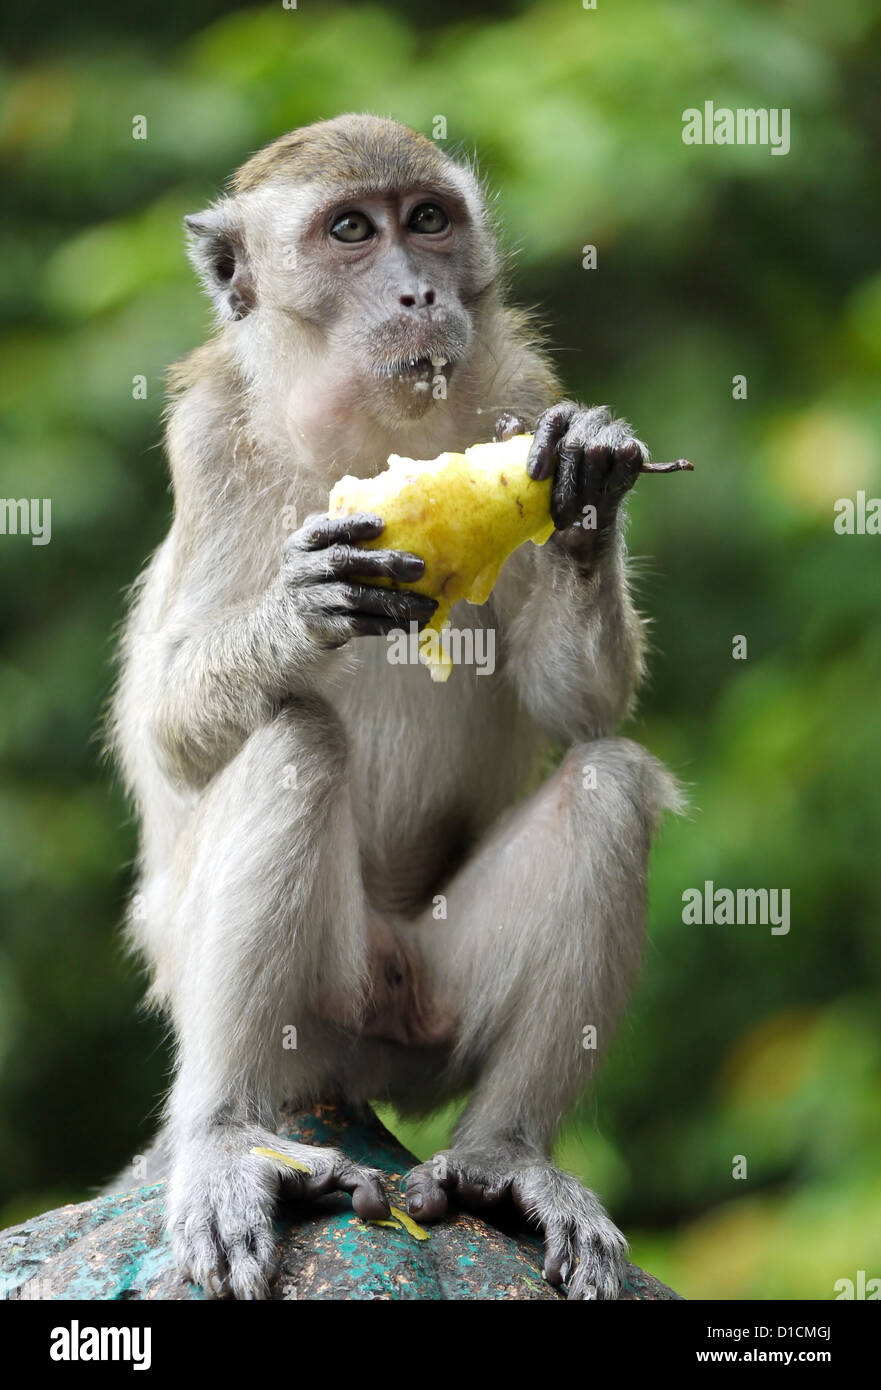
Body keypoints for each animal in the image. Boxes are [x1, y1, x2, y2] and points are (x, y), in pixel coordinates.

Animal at [110, 113, 682, 1301]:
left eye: (426, 219)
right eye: (348, 232)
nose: (419, 290)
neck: (363, 422)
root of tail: (371, 1030)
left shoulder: (521, 386)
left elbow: (578, 705)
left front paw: (586, 482)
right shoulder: (209, 437)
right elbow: (170, 727)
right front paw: (301, 606)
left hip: (431, 1004)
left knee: (609, 783)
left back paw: (504, 1157)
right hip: (308, 999)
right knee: (289, 739)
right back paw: (224, 1134)